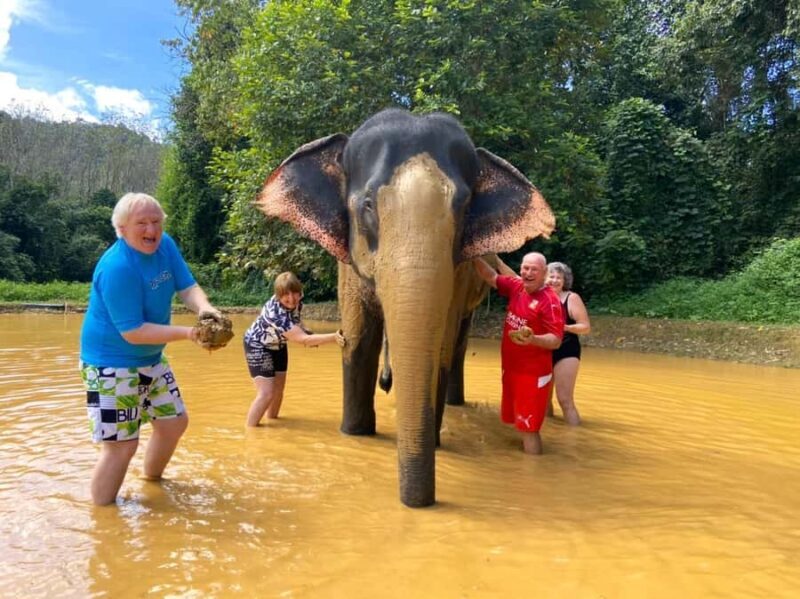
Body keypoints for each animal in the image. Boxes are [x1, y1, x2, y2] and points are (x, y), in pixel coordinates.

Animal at [257, 109, 555, 507]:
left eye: (464, 206)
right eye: (368, 205)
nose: (420, 503)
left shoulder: (458, 273)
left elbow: (438, 348)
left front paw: (435, 443)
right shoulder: (348, 266)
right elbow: (360, 343)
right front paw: (354, 434)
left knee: (457, 343)